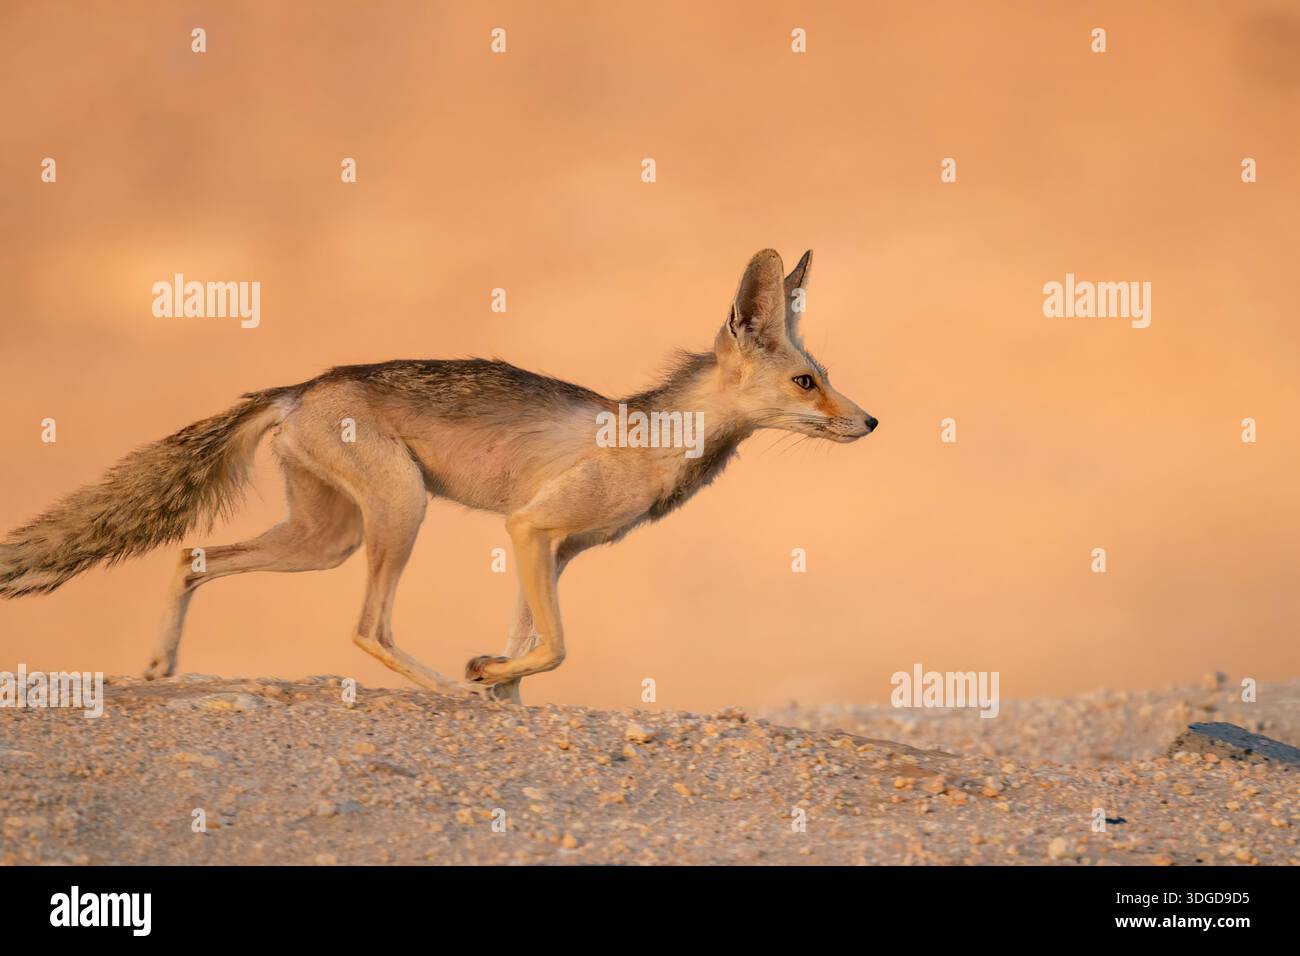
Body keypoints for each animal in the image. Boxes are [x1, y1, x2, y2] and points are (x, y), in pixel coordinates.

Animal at [0, 249, 877, 702]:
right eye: (808, 383)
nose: (870, 423)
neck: (655, 438)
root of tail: (300, 385)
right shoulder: (533, 528)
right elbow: (556, 647)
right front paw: (481, 680)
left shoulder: (556, 550)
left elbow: (530, 642)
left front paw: (503, 690)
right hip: (400, 510)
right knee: (368, 627)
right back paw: (441, 690)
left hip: (326, 537)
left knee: (192, 555)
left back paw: (158, 667)